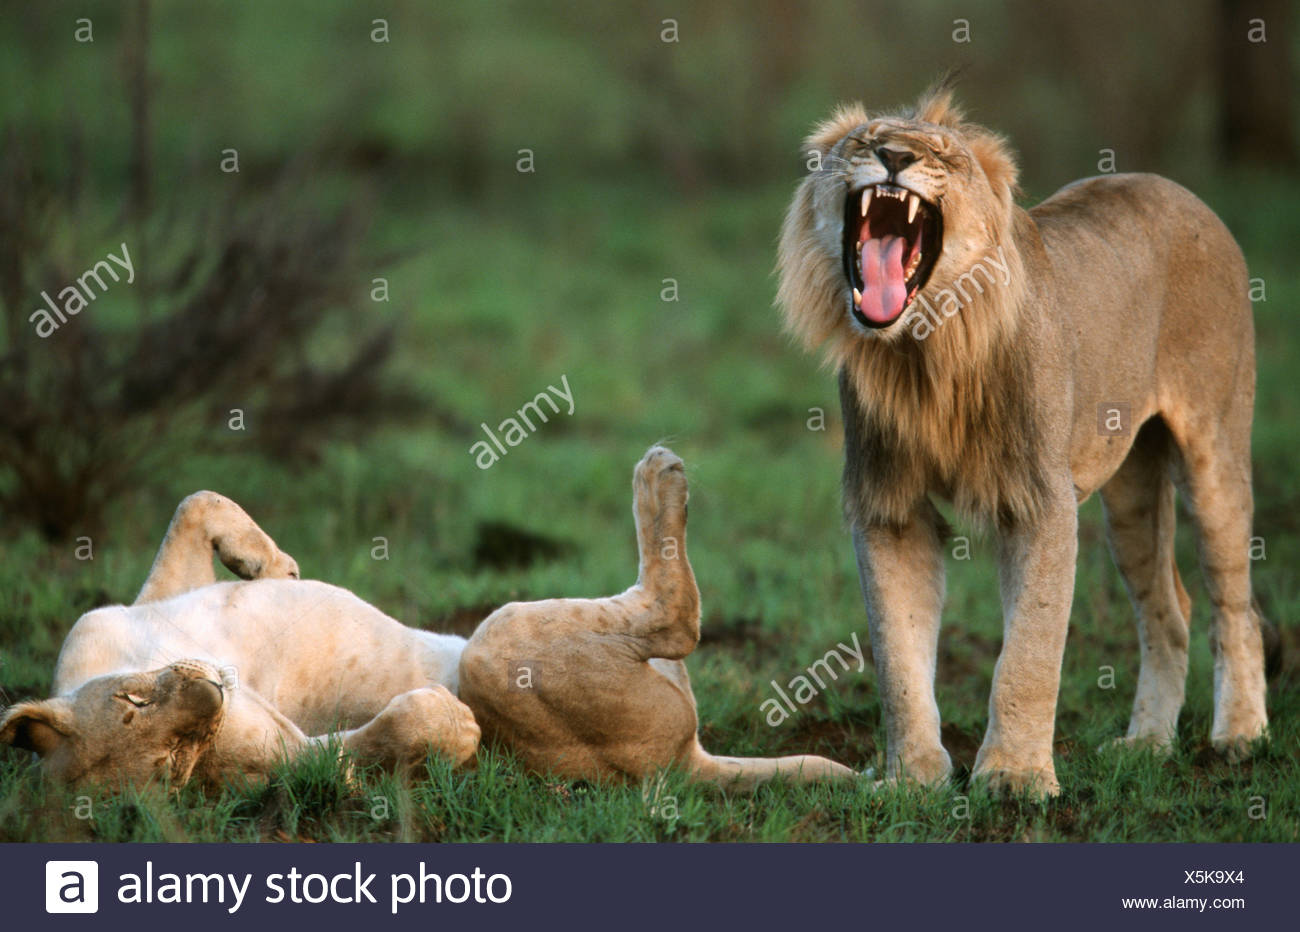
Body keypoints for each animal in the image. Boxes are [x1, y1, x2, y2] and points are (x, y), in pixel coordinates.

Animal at [0, 492, 480, 788]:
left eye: (133, 698)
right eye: (173, 757)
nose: (211, 690)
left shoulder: (126, 614)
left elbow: (197, 502)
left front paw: (276, 569)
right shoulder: (284, 757)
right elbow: (369, 746)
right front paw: (458, 723)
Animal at [775, 82, 1275, 796]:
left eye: (941, 152)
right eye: (863, 140)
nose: (894, 156)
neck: (927, 353)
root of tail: (1178, 189)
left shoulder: (1042, 501)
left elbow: (1028, 653)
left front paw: (1014, 776)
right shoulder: (889, 509)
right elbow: (899, 658)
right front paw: (912, 777)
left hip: (1216, 453)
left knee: (1233, 602)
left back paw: (1239, 735)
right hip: (1131, 491)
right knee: (1167, 606)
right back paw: (1147, 743)